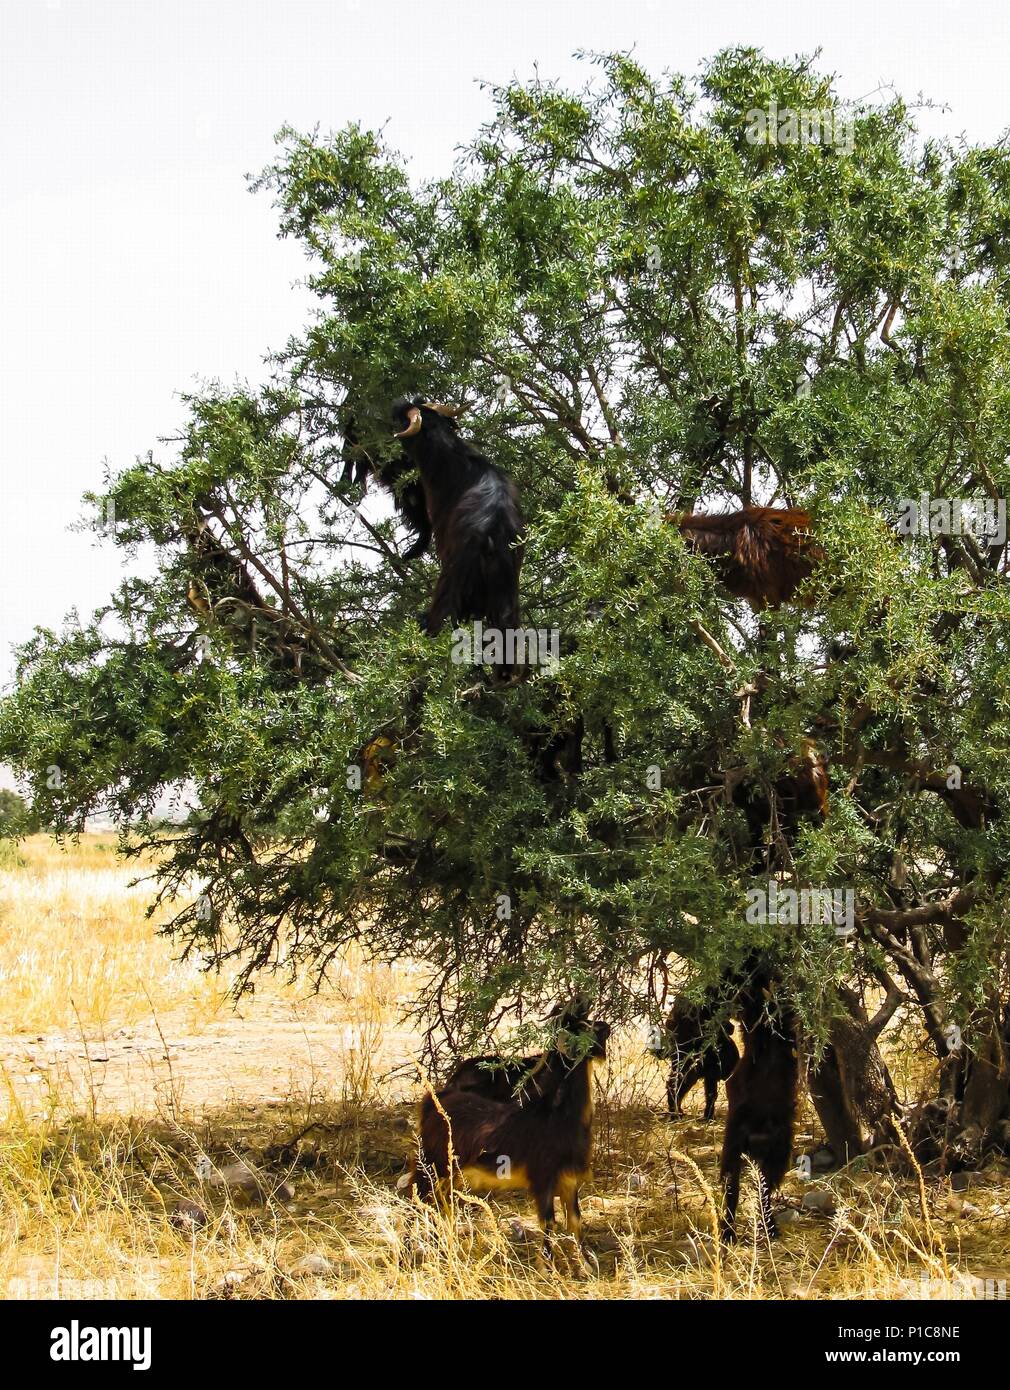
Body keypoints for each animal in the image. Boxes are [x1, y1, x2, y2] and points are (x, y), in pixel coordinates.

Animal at [391, 398, 523, 634]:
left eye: (404, 419)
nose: (397, 404)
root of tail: (494, 531)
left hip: (454, 573)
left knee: (444, 610)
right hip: (507, 594)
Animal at [408, 1003, 609, 1265]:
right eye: (582, 1028)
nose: (606, 1027)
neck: (559, 1115)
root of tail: (434, 1101)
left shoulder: (568, 1179)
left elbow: (575, 1221)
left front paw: (585, 1264)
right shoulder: (543, 1178)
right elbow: (548, 1223)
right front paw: (547, 1267)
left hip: (449, 1175)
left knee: (441, 1205)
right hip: (431, 1166)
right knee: (417, 1200)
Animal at [720, 965, 799, 1242]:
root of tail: (758, 1134)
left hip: (777, 1148)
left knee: (759, 1186)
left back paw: (763, 1226)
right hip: (739, 1143)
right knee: (737, 1184)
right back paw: (732, 1229)